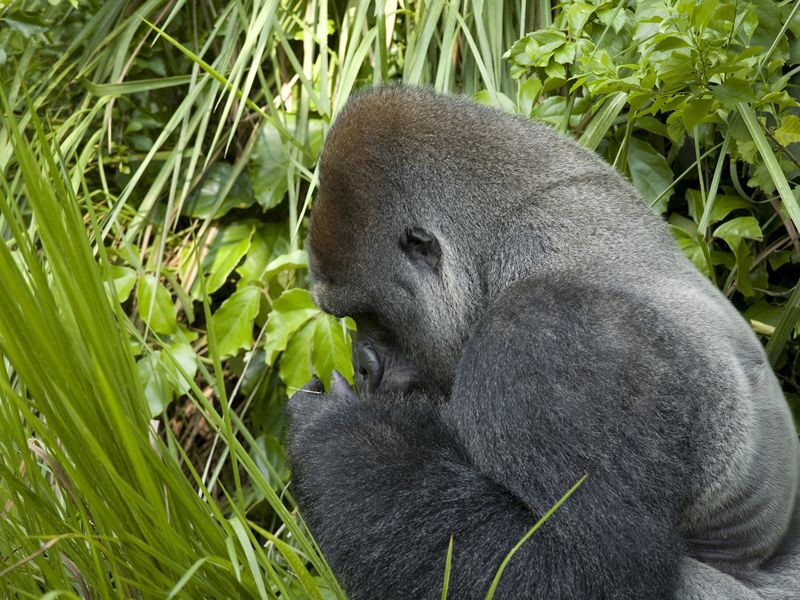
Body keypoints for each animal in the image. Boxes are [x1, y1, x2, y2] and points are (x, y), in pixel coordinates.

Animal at [285, 86, 800, 599]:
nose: (363, 364)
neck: (504, 243)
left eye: (370, 316)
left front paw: (325, 430)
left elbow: (580, 571)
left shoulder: (545, 340)